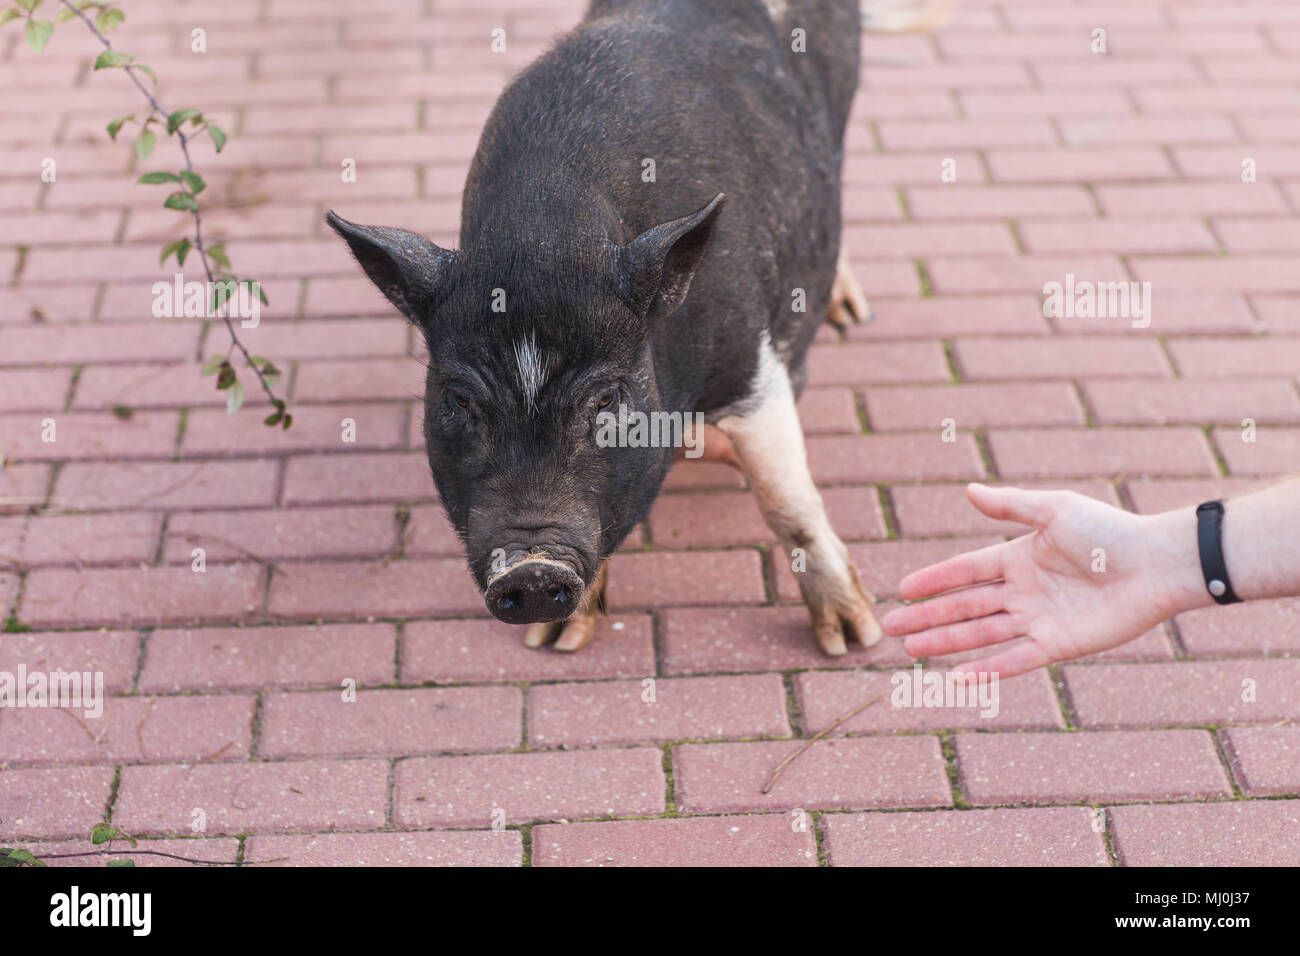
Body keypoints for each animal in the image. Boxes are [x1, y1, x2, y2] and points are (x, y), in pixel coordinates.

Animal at [327, 0, 883, 655]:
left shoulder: (749, 359)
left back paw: (850, 312)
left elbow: (786, 500)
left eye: (607, 399)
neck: (545, 237)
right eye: (458, 399)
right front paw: (556, 643)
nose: (530, 570)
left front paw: (854, 639)